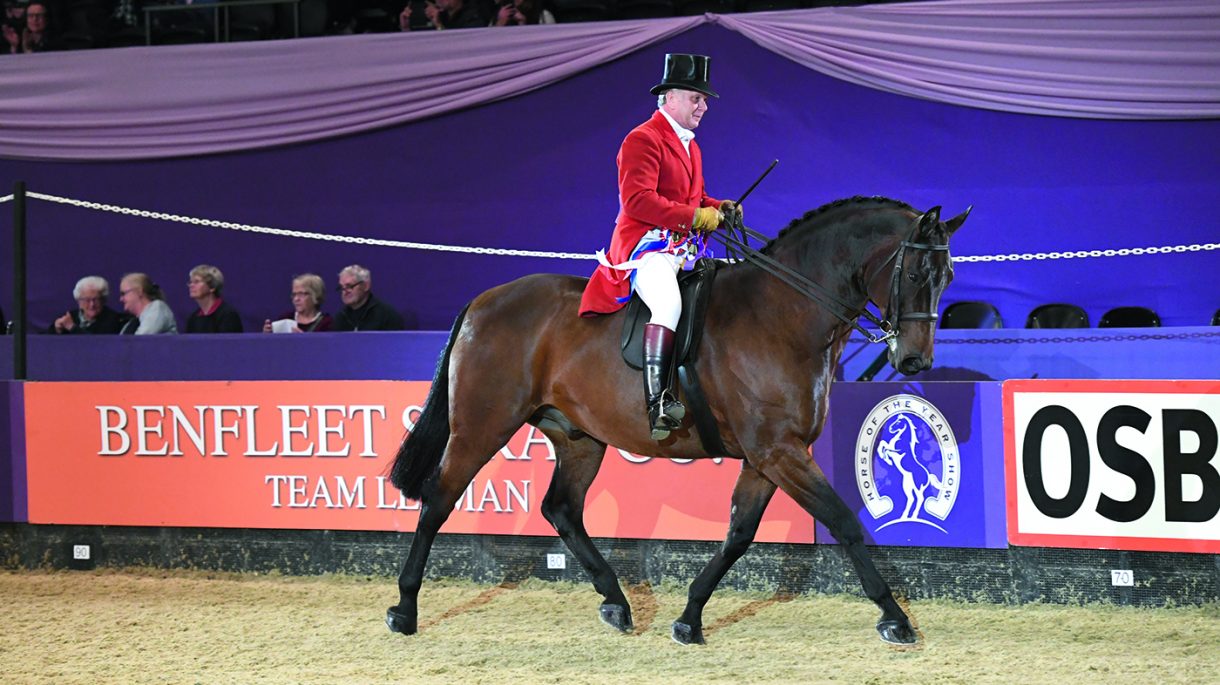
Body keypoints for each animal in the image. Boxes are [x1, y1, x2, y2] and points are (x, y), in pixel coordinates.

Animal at [386, 195, 969, 645]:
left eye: (947, 276)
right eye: (914, 272)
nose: (913, 361)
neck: (783, 313)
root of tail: (482, 302)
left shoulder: (768, 456)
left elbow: (738, 533)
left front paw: (689, 619)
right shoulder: (779, 451)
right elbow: (844, 522)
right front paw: (895, 618)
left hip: (580, 438)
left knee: (562, 509)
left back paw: (616, 603)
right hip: (482, 425)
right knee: (439, 498)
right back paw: (404, 609)